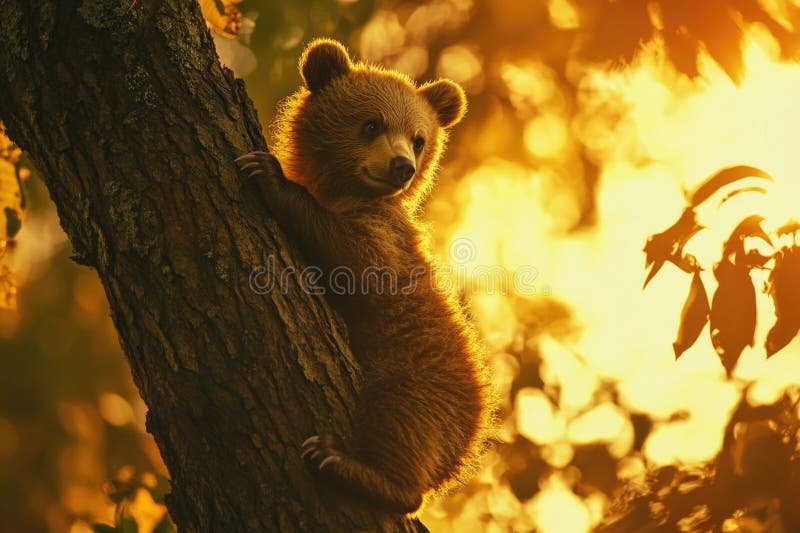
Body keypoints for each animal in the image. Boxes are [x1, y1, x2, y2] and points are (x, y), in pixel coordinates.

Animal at [236, 38, 492, 515]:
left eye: (418, 139)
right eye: (372, 123)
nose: (401, 165)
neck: (340, 190)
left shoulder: (385, 234)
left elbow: (364, 272)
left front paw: (269, 173)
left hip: (421, 373)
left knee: (402, 418)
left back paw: (347, 464)